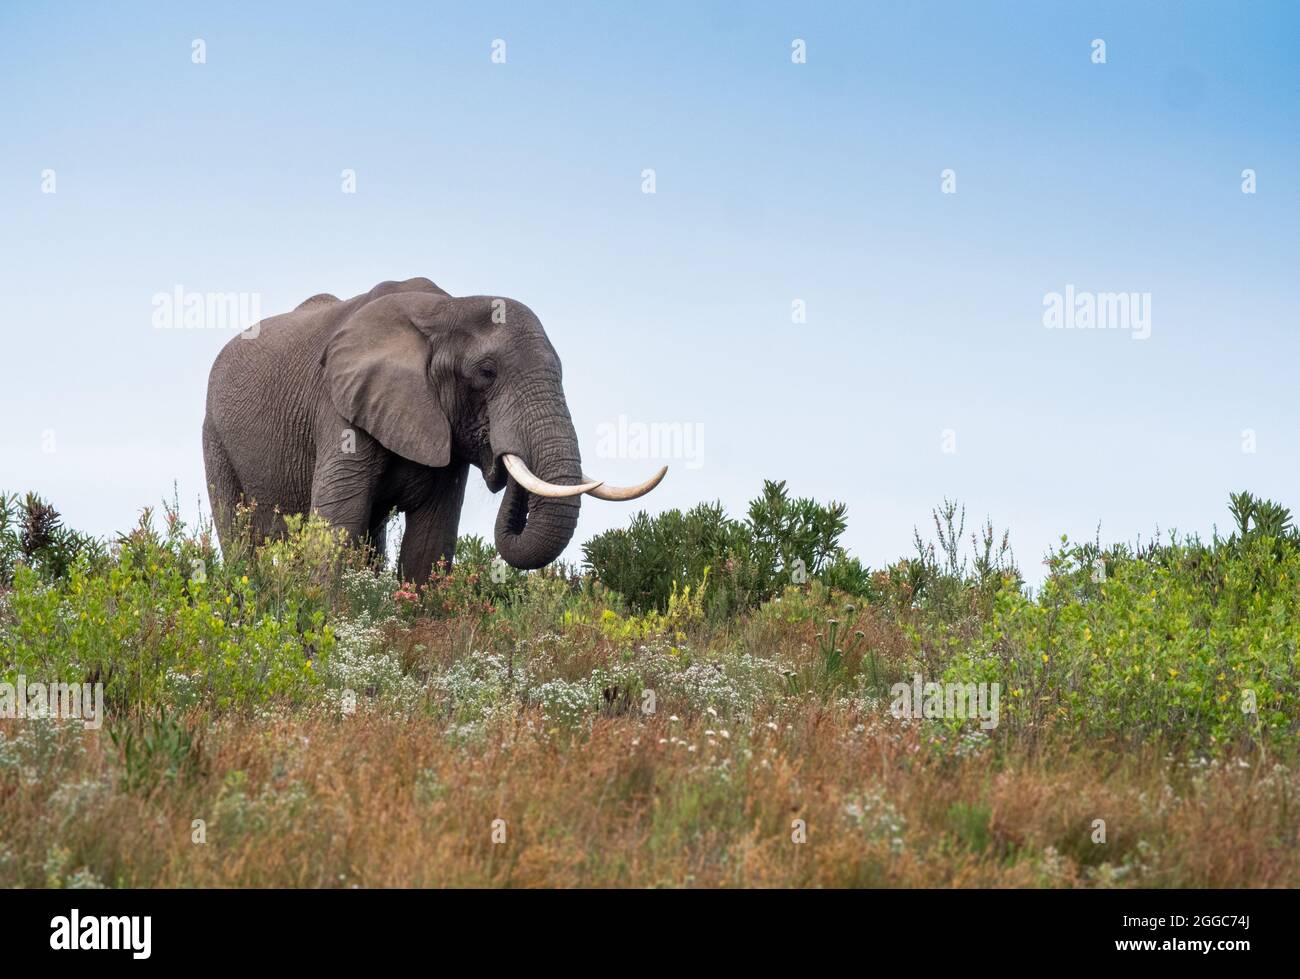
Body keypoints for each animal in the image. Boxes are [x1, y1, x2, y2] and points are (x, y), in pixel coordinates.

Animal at [202, 277, 665, 581]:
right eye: (486, 373)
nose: (501, 457)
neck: (446, 309)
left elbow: (429, 544)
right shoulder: (339, 410)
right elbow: (337, 529)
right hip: (215, 437)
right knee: (240, 541)